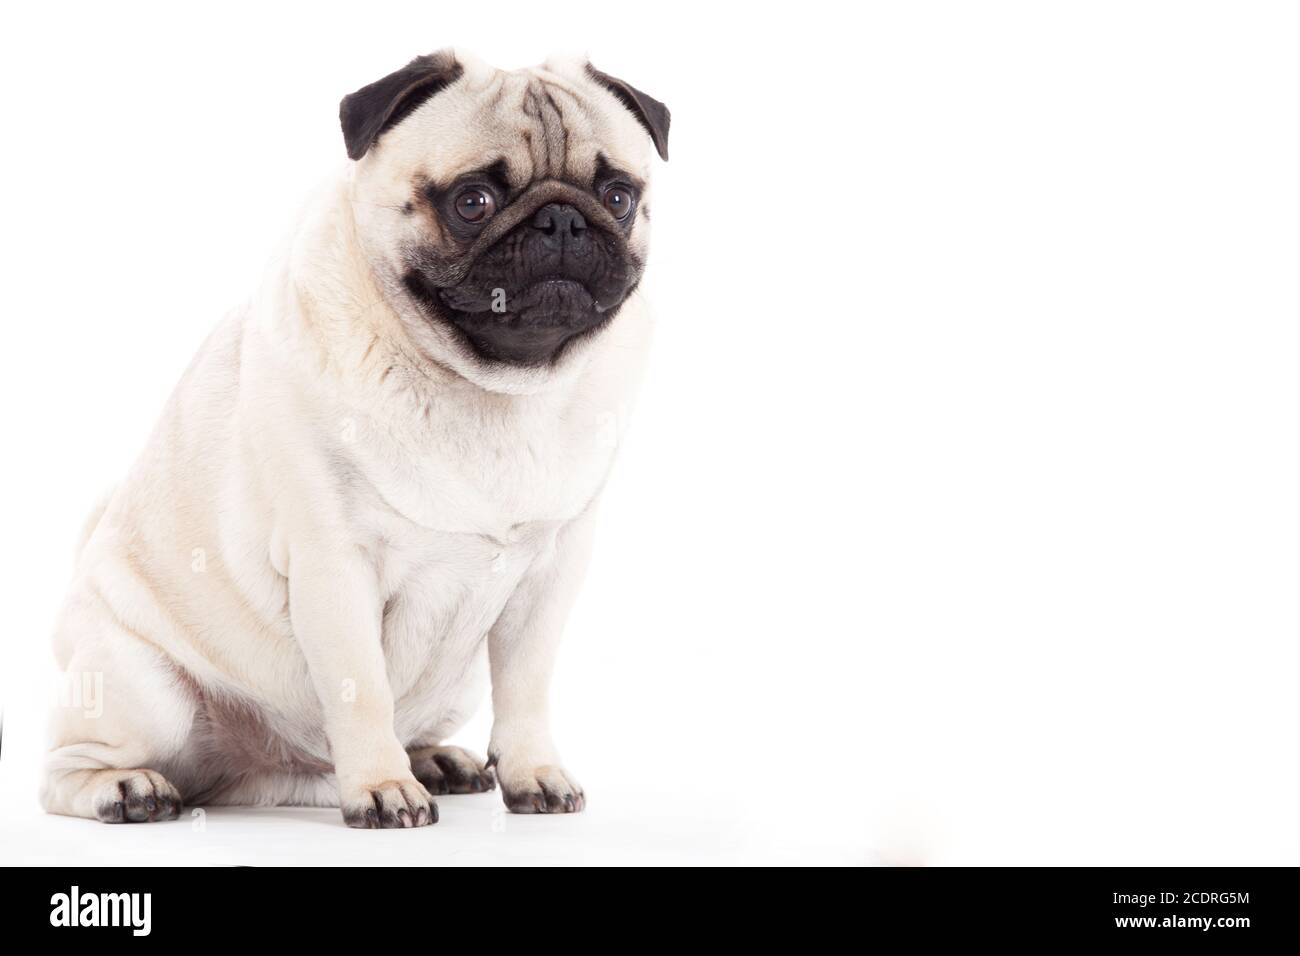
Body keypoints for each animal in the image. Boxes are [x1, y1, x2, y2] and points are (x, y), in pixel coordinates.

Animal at [40, 50, 670, 832]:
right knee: (64, 768)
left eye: (618, 195)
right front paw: (381, 787)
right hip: (146, 693)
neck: (492, 388)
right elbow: (362, 688)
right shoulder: (335, 566)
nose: (562, 218)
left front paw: (534, 774)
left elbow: (526, 687)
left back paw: (435, 759)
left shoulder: (550, 576)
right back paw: (126, 788)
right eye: (472, 202)